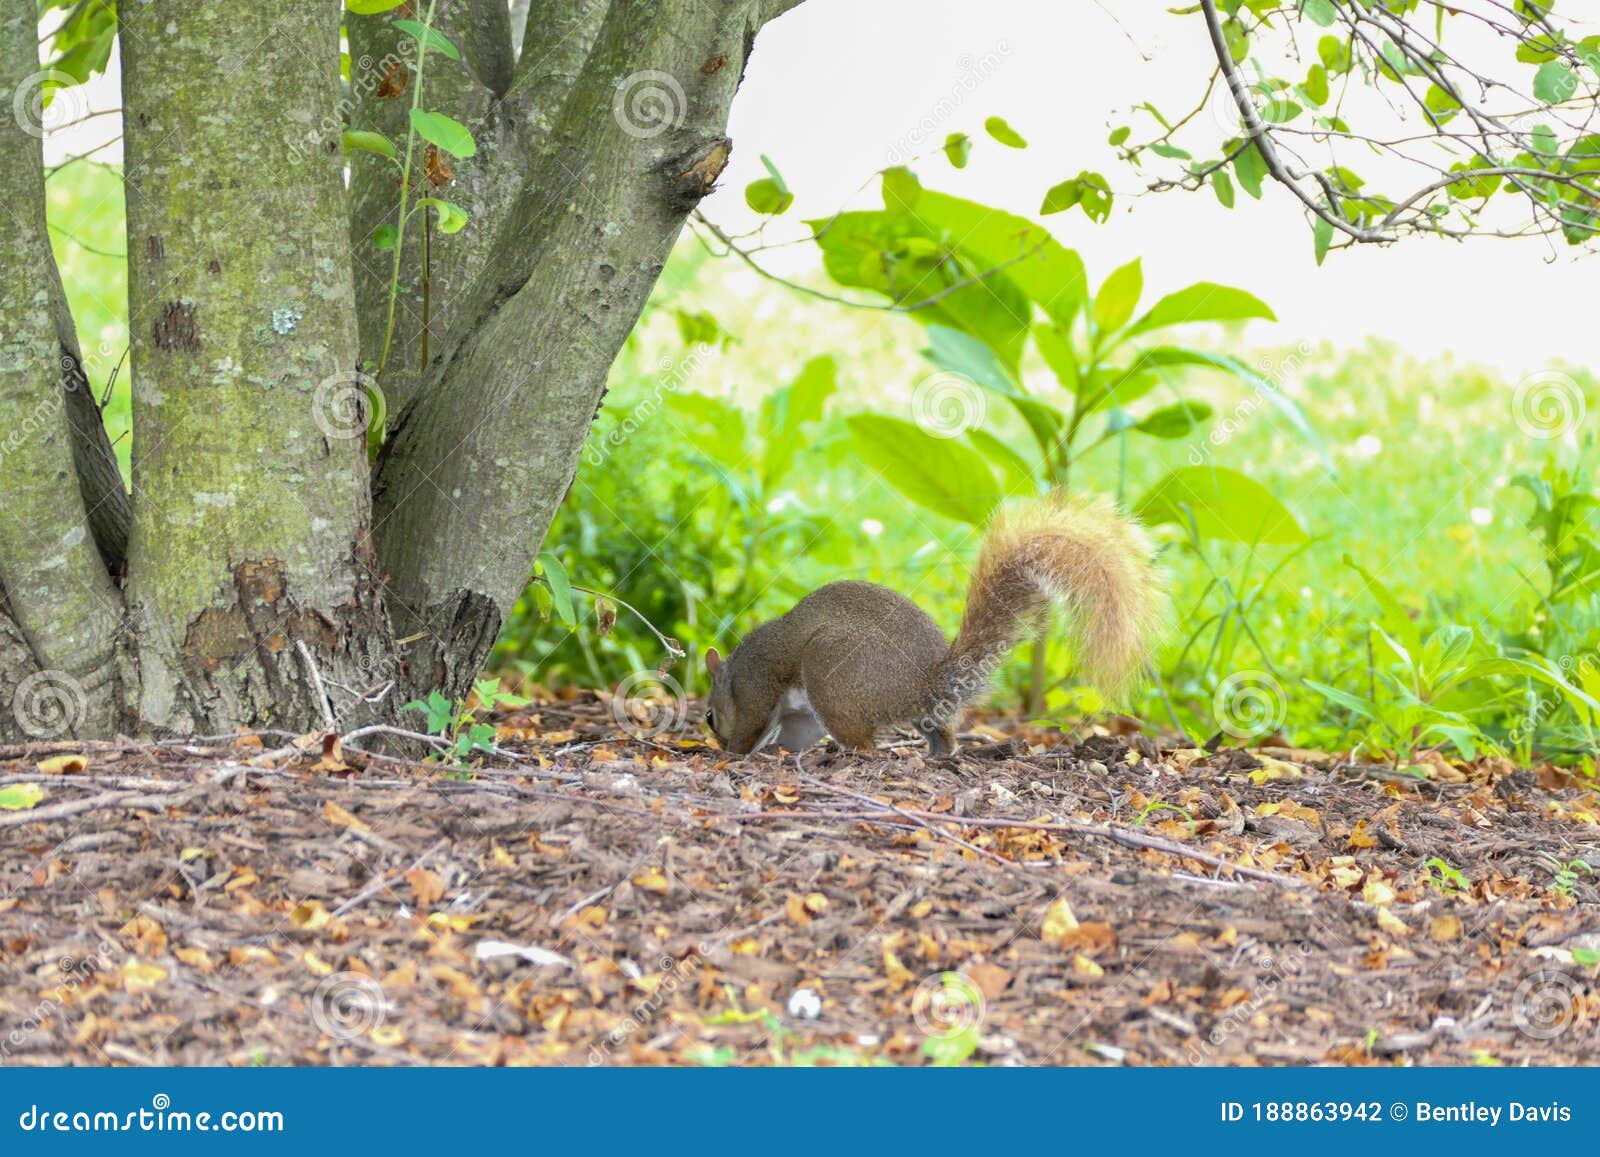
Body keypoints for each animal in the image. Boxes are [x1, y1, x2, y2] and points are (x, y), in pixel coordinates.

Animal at [703, 494, 1167, 755]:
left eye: (709, 716)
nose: (716, 739)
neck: (733, 671)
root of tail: (926, 682)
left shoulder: (756, 682)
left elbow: (751, 722)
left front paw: (734, 754)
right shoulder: (795, 714)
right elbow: (793, 732)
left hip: (830, 670)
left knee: (865, 746)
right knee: (940, 734)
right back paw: (940, 754)